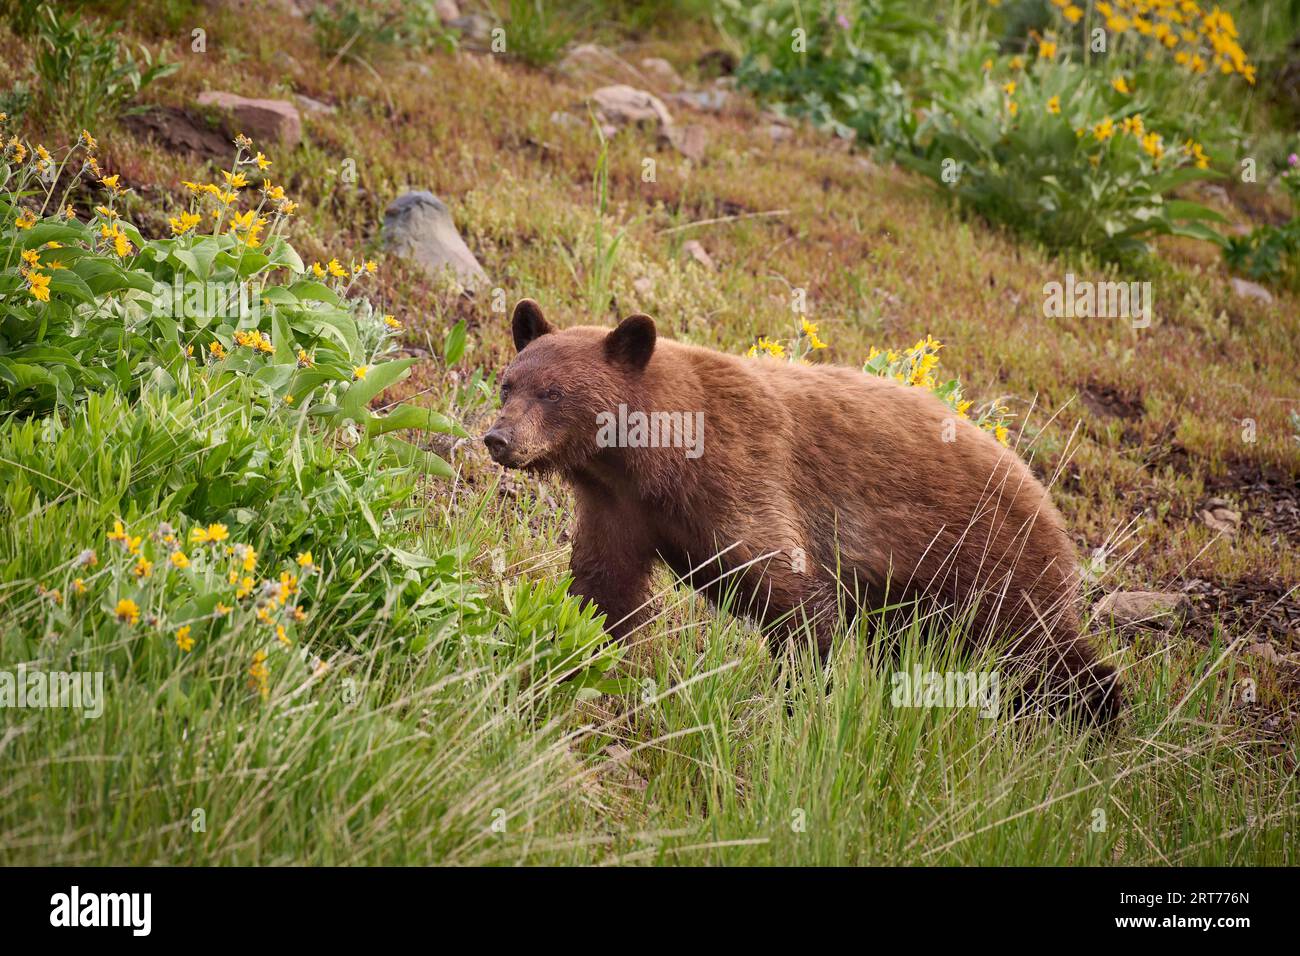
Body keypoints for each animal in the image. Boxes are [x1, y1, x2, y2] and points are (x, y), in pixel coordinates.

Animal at [485, 299, 1122, 724]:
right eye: (508, 384)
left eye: (553, 393)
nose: (497, 438)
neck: (649, 461)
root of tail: (1042, 490)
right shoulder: (619, 510)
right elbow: (601, 588)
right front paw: (570, 654)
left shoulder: (743, 475)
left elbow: (789, 590)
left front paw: (798, 695)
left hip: (987, 553)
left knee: (1036, 644)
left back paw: (1098, 711)